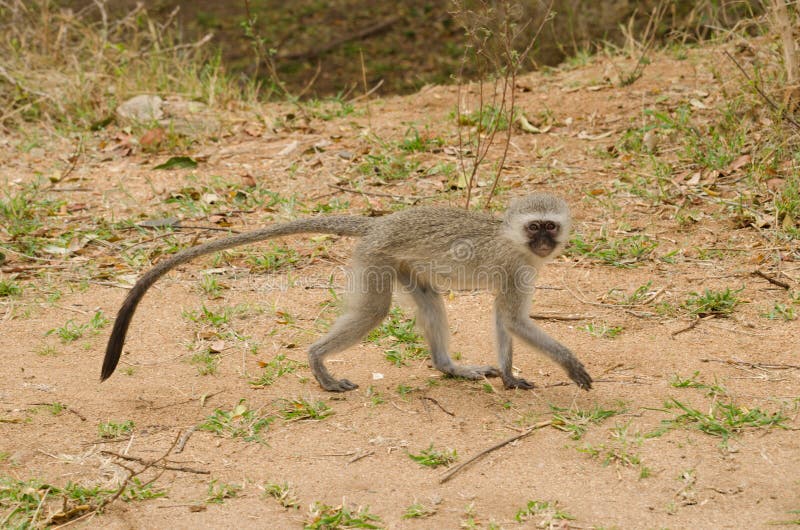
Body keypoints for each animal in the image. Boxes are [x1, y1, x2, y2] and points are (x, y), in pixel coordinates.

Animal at [101, 193, 592, 392]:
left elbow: (504, 321)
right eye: (535, 226)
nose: (545, 243)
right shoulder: (514, 267)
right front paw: (571, 365)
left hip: (399, 264)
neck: (514, 241)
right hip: (374, 260)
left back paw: (448, 367)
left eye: (551, 226)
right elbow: (512, 320)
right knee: (374, 311)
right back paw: (318, 361)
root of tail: (379, 224)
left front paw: (509, 375)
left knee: (429, 299)